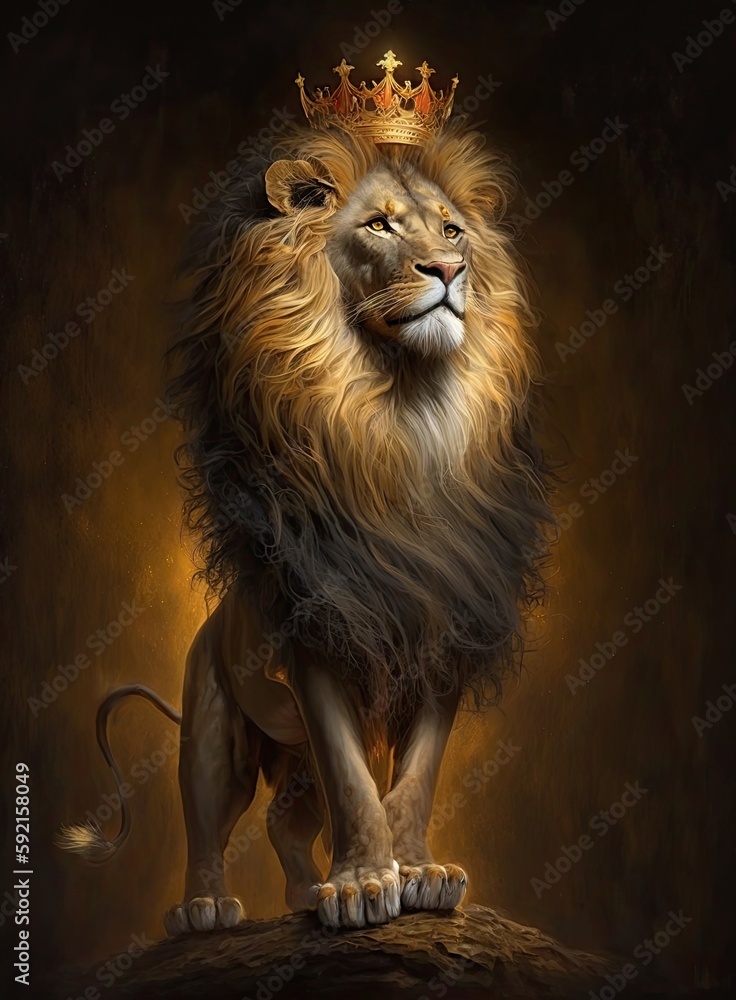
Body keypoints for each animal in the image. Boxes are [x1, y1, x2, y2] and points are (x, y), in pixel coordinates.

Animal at [58, 119, 553, 934]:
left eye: (452, 229)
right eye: (380, 225)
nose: (450, 268)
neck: (403, 414)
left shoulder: (445, 637)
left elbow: (411, 780)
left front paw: (416, 872)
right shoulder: (317, 634)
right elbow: (355, 782)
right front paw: (359, 886)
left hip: (290, 769)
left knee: (284, 823)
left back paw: (297, 896)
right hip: (215, 733)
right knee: (210, 822)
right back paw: (206, 908)